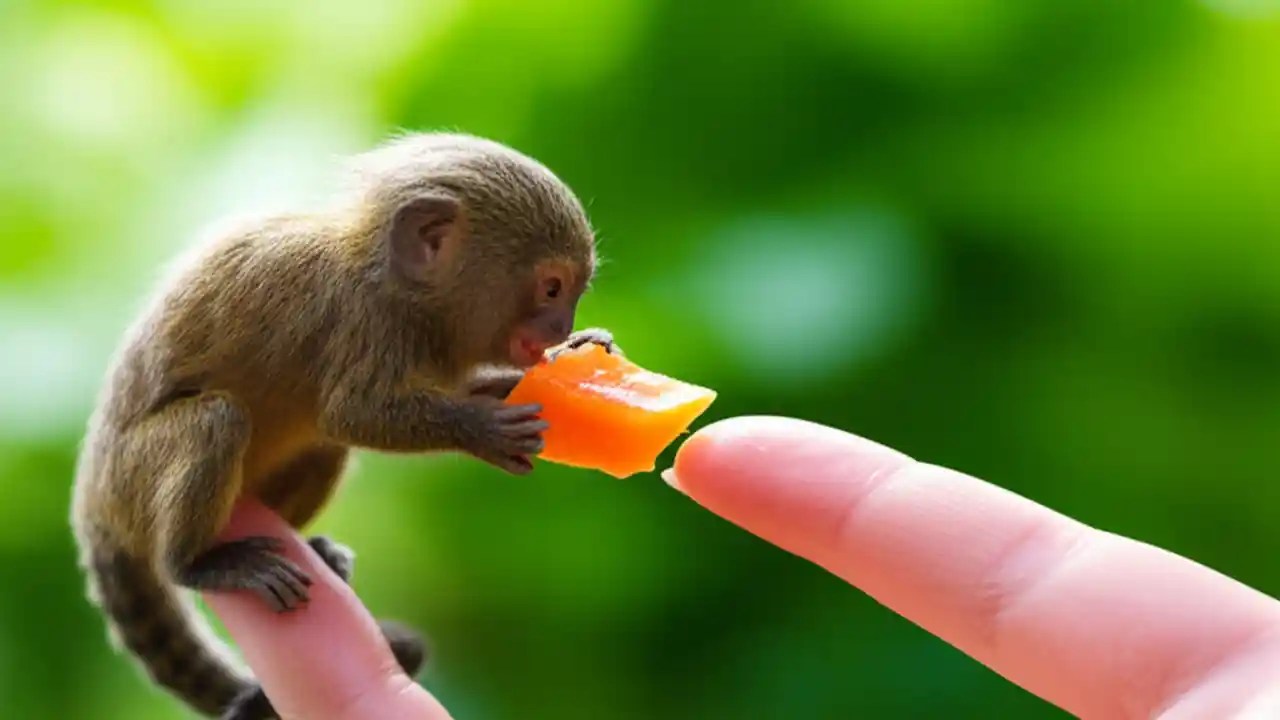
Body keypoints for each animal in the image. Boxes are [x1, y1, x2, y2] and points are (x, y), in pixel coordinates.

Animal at [70, 132, 619, 719]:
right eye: (552, 289)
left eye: (570, 296)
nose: (558, 327)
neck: (397, 288)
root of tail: (94, 508)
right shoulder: (366, 320)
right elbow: (352, 413)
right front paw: (482, 430)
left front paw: (579, 350)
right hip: (130, 480)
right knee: (217, 422)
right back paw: (198, 564)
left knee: (321, 447)